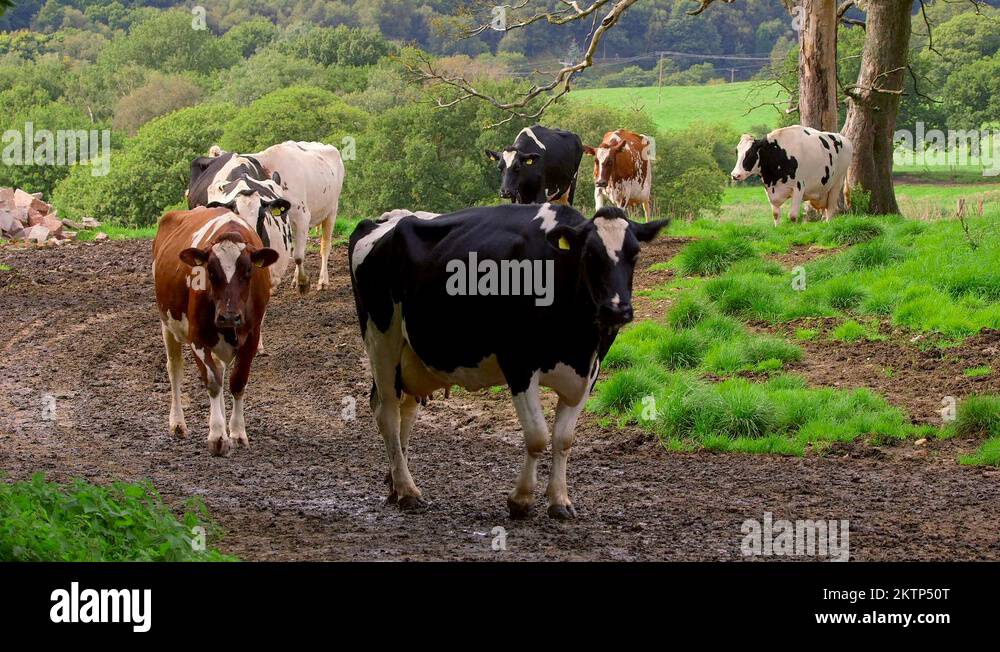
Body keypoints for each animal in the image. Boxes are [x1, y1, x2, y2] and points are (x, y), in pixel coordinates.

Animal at [153, 206, 278, 456]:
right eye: (210, 271)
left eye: (248, 271)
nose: (228, 316)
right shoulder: (198, 337)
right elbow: (212, 380)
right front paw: (218, 435)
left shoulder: (252, 336)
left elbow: (237, 381)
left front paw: (237, 433)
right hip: (167, 324)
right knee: (175, 370)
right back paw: (178, 423)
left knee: (221, 371)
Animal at [196, 141, 345, 293]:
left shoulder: (302, 216)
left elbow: (298, 256)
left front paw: (303, 283)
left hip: (332, 210)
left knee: (325, 246)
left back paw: (323, 281)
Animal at [349, 203, 668, 519]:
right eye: (590, 254)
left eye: (635, 253)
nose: (617, 310)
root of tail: (387, 219)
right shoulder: (518, 363)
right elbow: (538, 436)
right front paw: (521, 499)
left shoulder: (589, 372)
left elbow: (563, 439)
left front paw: (560, 500)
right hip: (382, 341)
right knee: (388, 413)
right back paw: (407, 491)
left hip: (411, 357)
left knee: (406, 410)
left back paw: (395, 484)